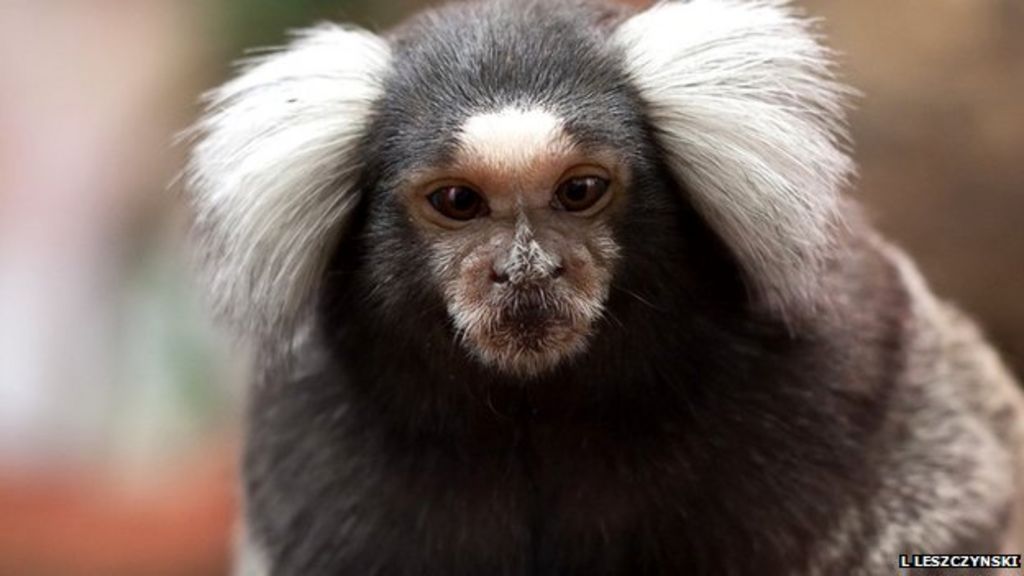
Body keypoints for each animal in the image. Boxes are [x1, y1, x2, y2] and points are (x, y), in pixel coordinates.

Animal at [185, 0, 1024, 574]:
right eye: (458, 202)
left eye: (580, 190)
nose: (527, 270)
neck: (540, 411)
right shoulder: (308, 461)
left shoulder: (853, 377)